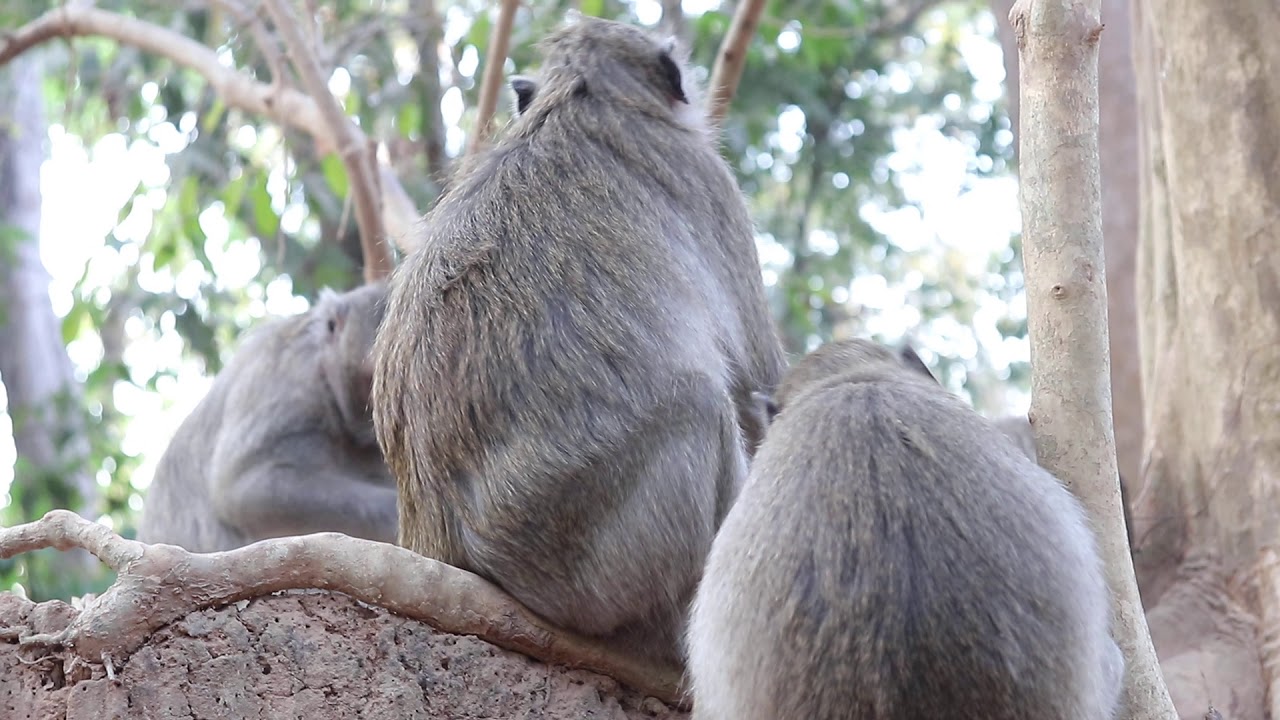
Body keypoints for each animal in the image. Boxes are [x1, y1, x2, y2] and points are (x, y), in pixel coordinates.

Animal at [372, 16, 787, 670]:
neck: (577, 99)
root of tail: (446, 548)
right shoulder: (704, 176)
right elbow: (758, 385)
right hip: (586, 563)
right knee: (698, 406)